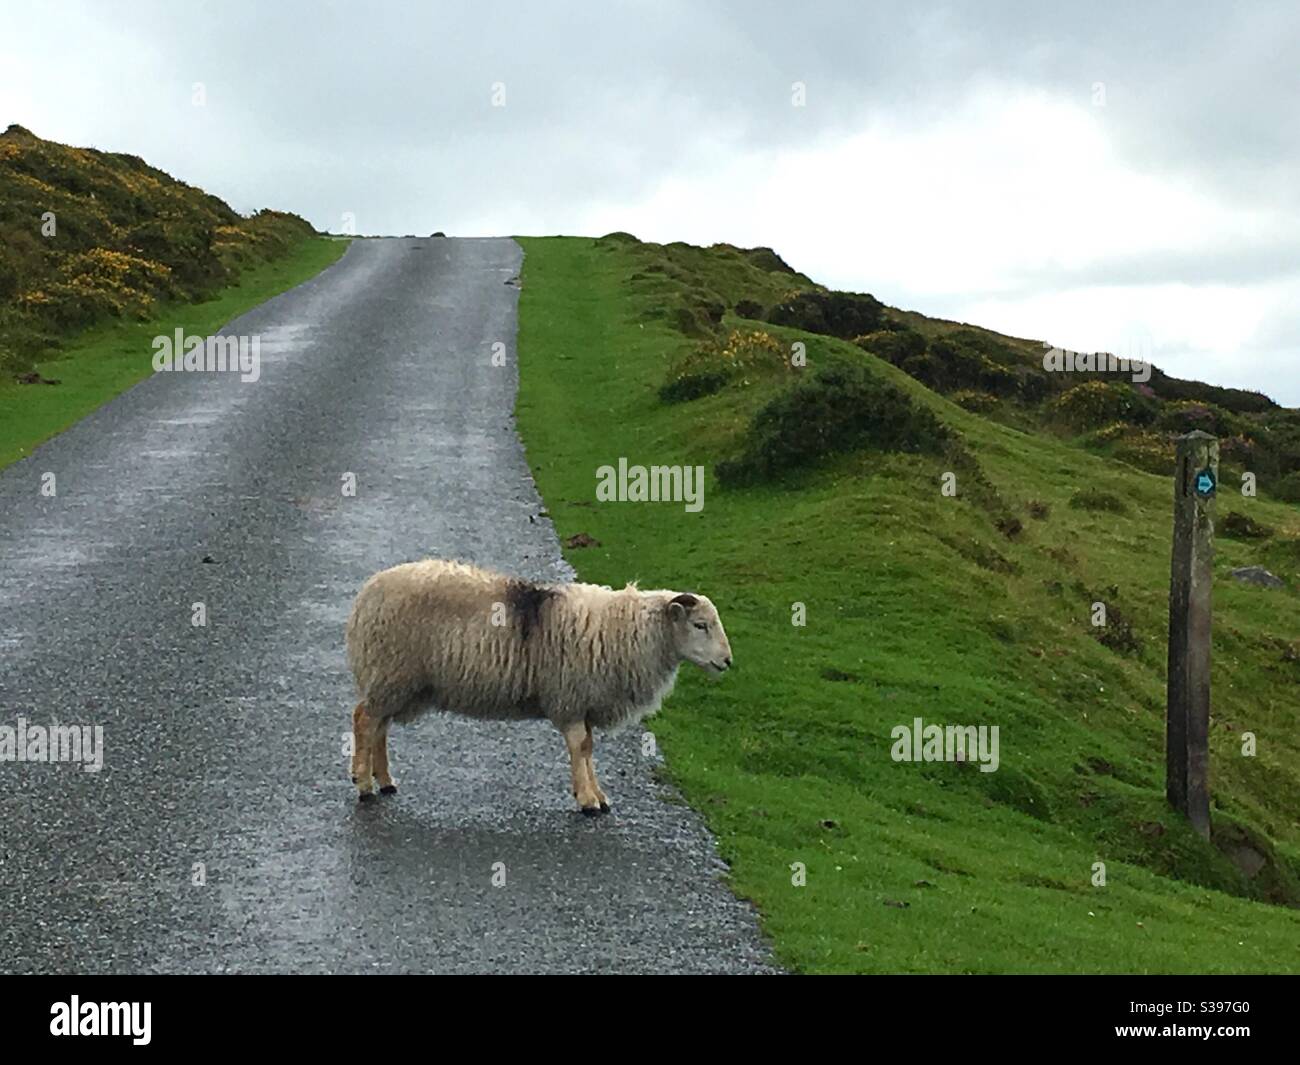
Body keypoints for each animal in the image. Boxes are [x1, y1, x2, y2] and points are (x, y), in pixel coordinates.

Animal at [345, 559, 733, 814]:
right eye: (700, 625)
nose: (728, 661)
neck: (626, 631)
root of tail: (366, 593)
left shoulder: (583, 702)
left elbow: (588, 748)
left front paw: (597, 794)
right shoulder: (570, 697)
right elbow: (579, 747)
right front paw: (588, 801)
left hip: (397, 682)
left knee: (379, 727)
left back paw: (384, 780)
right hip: (392, 673)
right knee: (364, 720)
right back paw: (364, 785)